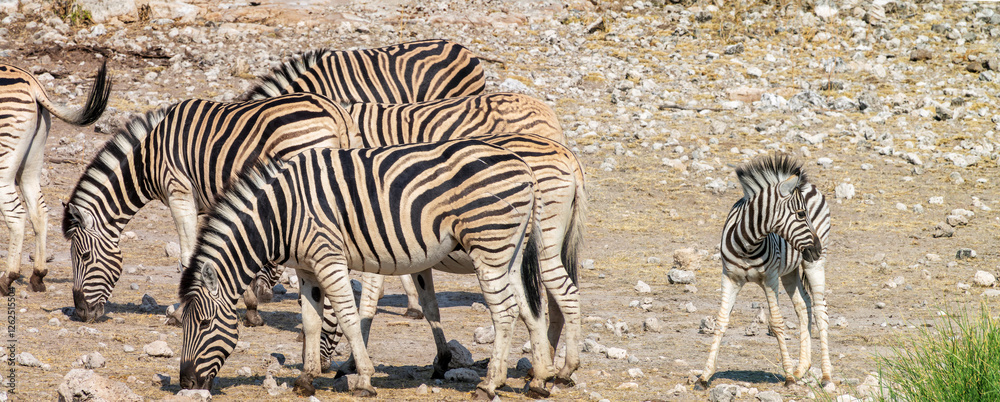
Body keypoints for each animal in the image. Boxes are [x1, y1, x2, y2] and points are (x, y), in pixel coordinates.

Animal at [0, 61, 111, 296]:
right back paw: (38, 275)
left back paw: (8, 279)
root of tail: (33, 84)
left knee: (17, 216)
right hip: (32, 162)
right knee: (39, 211)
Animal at [63, 92, 355, 323]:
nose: (82, 313)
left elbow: (188, 256)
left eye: (84, 256)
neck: (149, 160)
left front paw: (181, 314)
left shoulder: (179, 192)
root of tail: (336, 113)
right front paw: (250, 308)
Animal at [179, 140, 551, 399]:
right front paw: (306, 379)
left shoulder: (327, 257)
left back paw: (489, 385)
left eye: (205, 323)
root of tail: (524, 166)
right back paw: (538, 381)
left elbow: (347, 317)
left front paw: (364, 379)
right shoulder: (307, 269)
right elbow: (311, 321)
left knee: (505, 312)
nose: (186, 382)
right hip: (510, 252)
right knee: (530, 309)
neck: (281, 214)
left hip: (488, 245)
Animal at [696, 153, 832, 390]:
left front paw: (787, 377)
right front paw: (704, 376)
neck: (747, 244)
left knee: (819, 310)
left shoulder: (770, 279)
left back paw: (825, 376)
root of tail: (809, 184)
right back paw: (801, 368)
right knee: (803, 305)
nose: (816, 249)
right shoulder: (729, 277)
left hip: (813, 265)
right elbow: (721, 321)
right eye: (800, 214)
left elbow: (777, 324)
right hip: (790, 269)